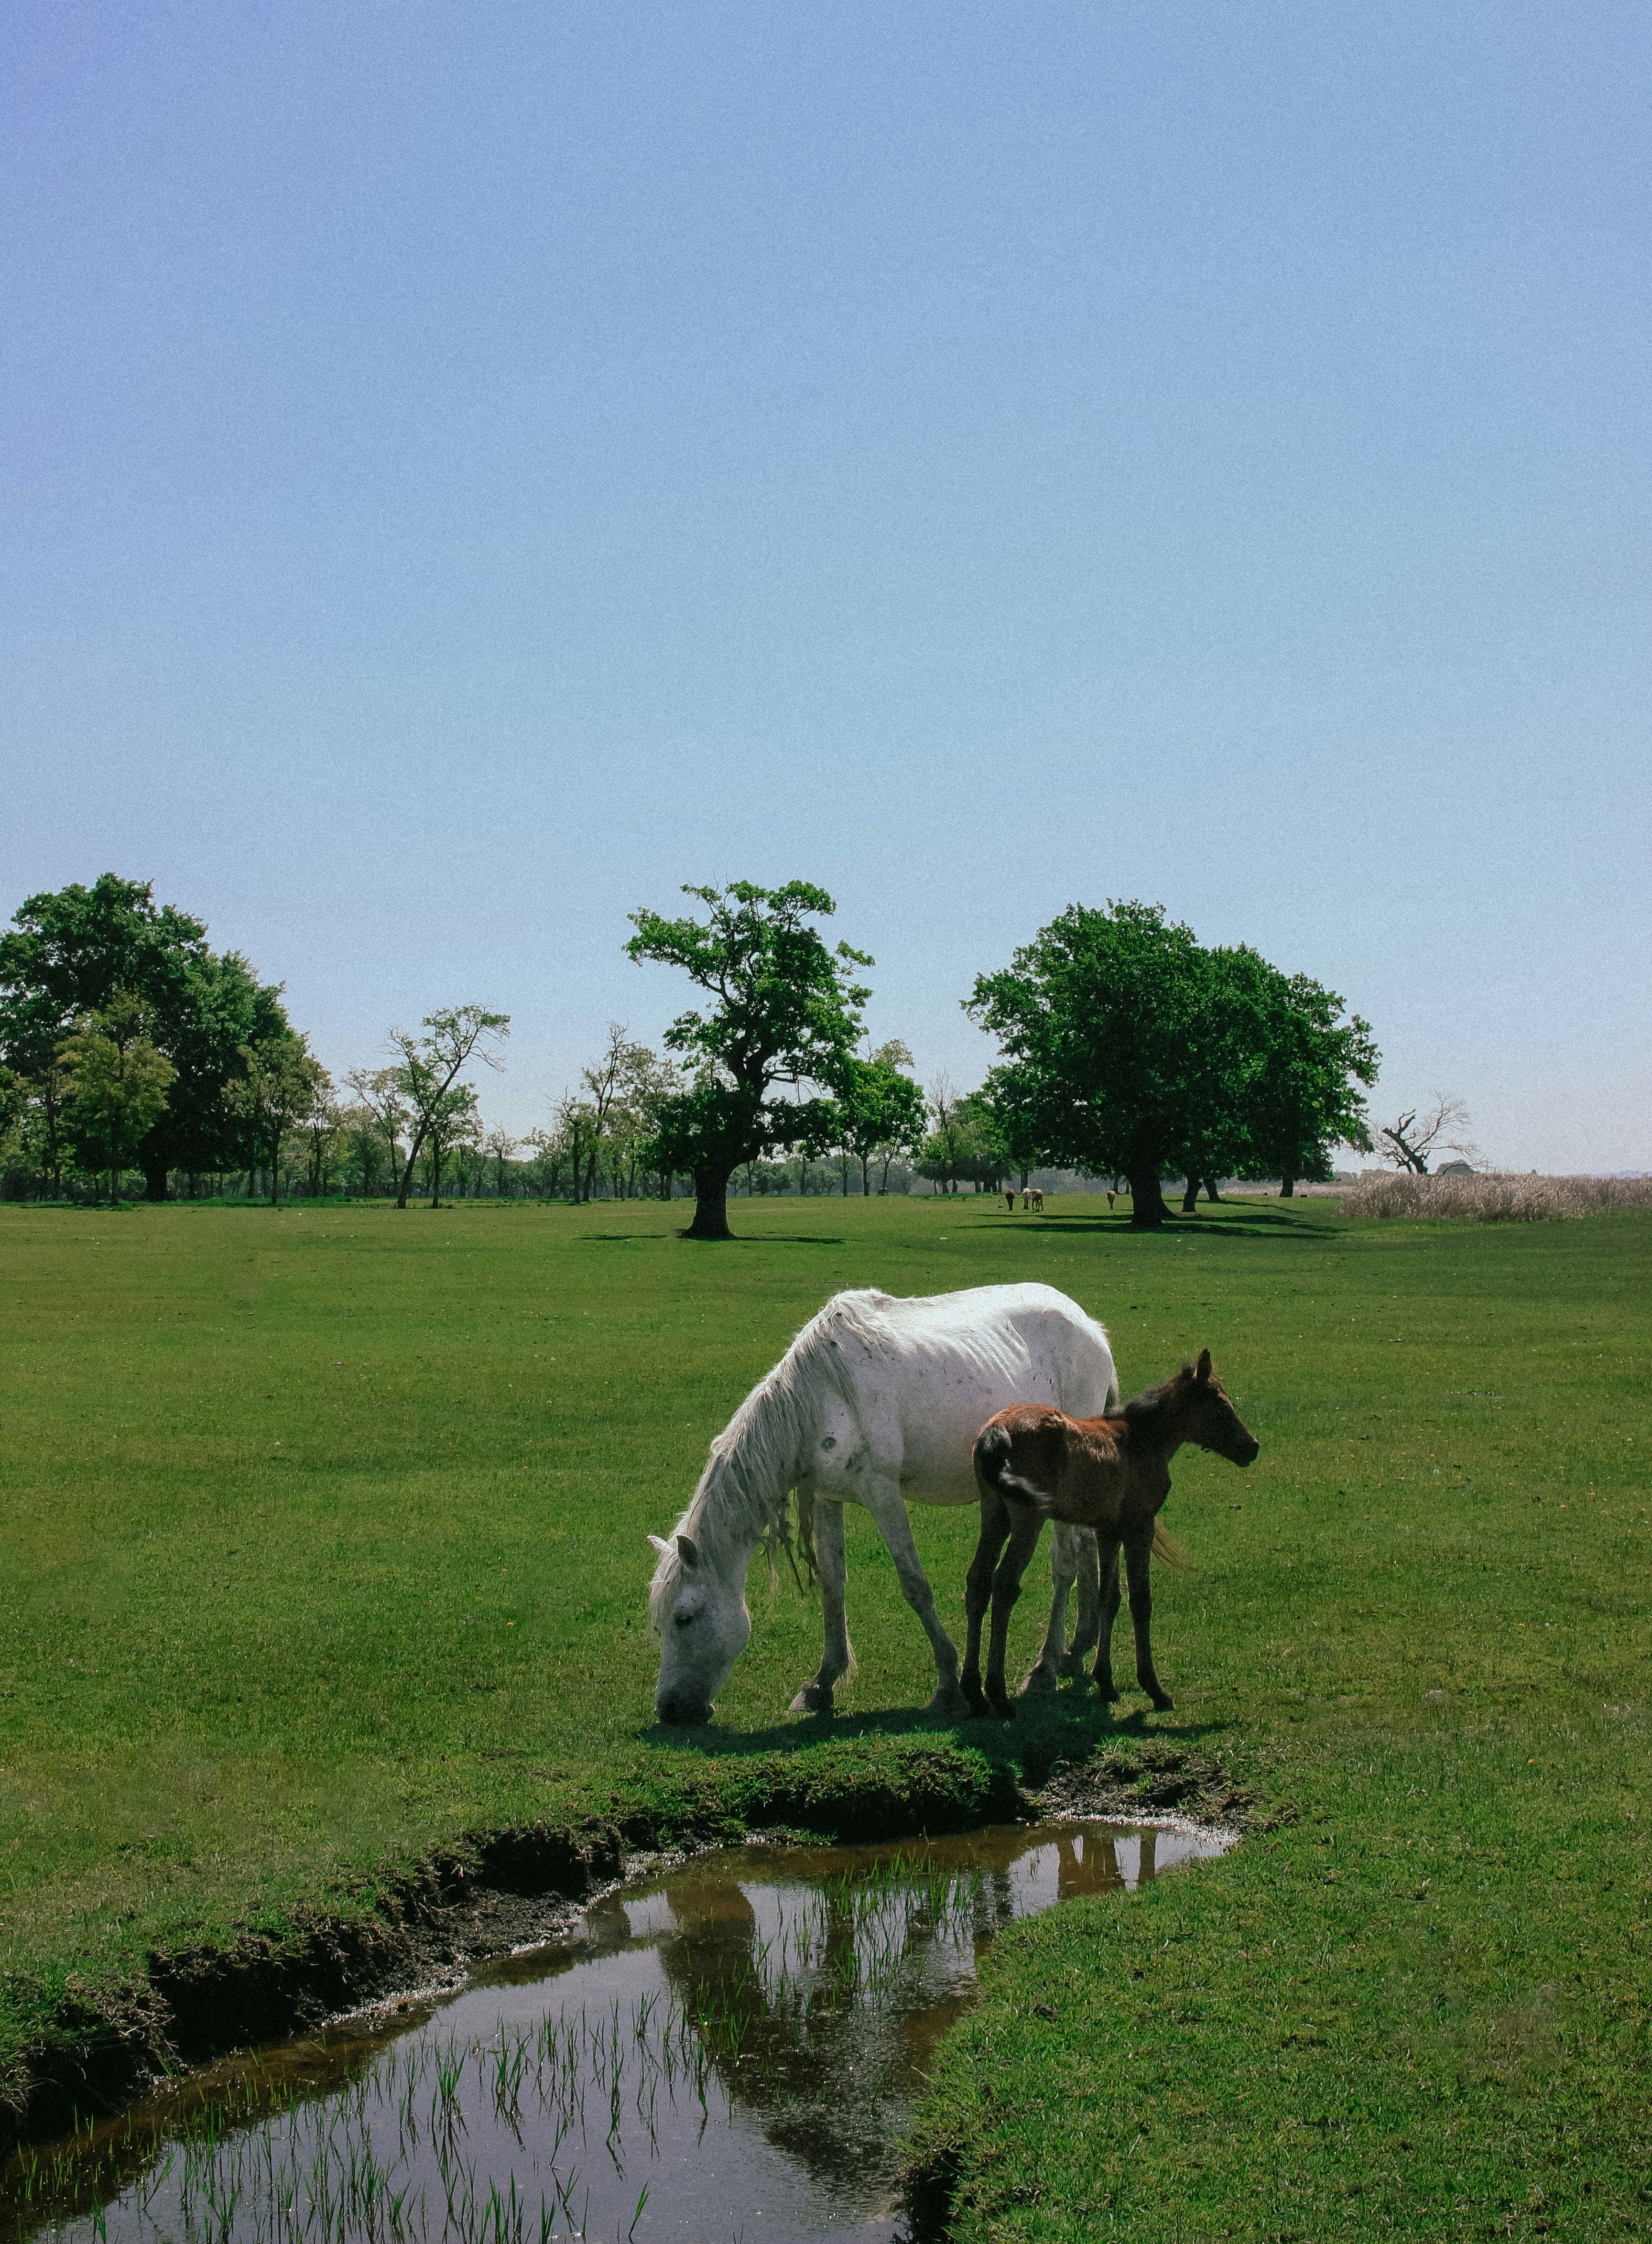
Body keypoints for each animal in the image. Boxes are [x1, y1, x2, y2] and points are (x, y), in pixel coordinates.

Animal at [647, 1284, 1120, 1725]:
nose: (669, 1710)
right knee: (1086, 1550)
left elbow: (915, 1585)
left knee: (1064, 1564)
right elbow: (833, 1585)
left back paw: (1047, 1666)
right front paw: (822, 1682)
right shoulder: (827, 1498)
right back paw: (1077, 1649)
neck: (822, 1394)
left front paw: (948, 1684)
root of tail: (1090, 1325)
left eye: (684, 1618)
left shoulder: (882, 1492)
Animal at [961, 1350, 1259, 1719]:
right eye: (1221, 1406)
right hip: (1028, 1519)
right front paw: (1155, 1689)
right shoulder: (1139, 1526)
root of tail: (997, 1433)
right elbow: (1140, 1600)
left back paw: (973, 1693)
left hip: (995, 1516)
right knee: (1004, 1586)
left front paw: (1105, 1682)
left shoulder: (1108, 1531)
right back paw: (998, 1695)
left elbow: (1109, 1598)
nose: (1252, 1447)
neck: (1141, 1441)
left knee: (979, 1581)